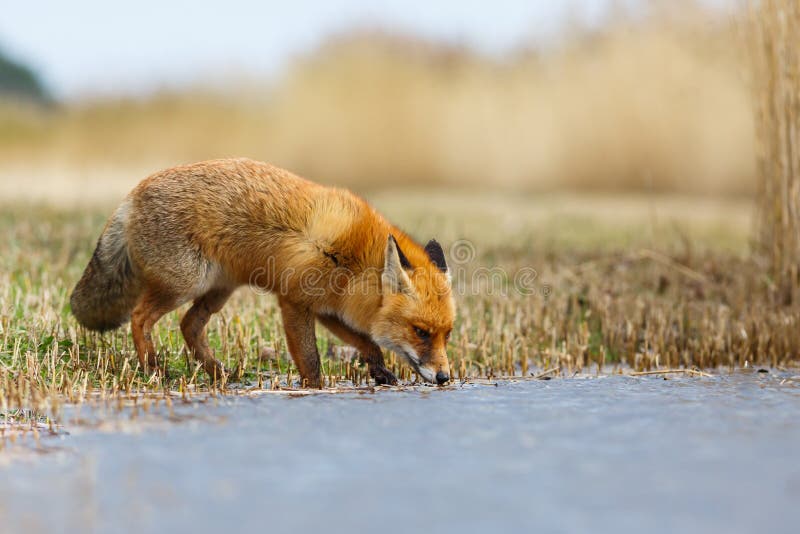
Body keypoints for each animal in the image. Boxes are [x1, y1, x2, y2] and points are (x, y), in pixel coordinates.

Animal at [70, 158, 454, 387]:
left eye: (446, 335)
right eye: (421, 332)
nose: (444, 377)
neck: (354, 259)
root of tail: (131, 195)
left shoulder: (330, 309)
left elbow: (367, 343)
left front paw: (380, 371)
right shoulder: (294, 302)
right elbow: (311, 361)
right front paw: (315, 390)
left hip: (219, 290)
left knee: (188, 325)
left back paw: (220, 373)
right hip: (184, 284)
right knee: (139, 317)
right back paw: (154, 369)